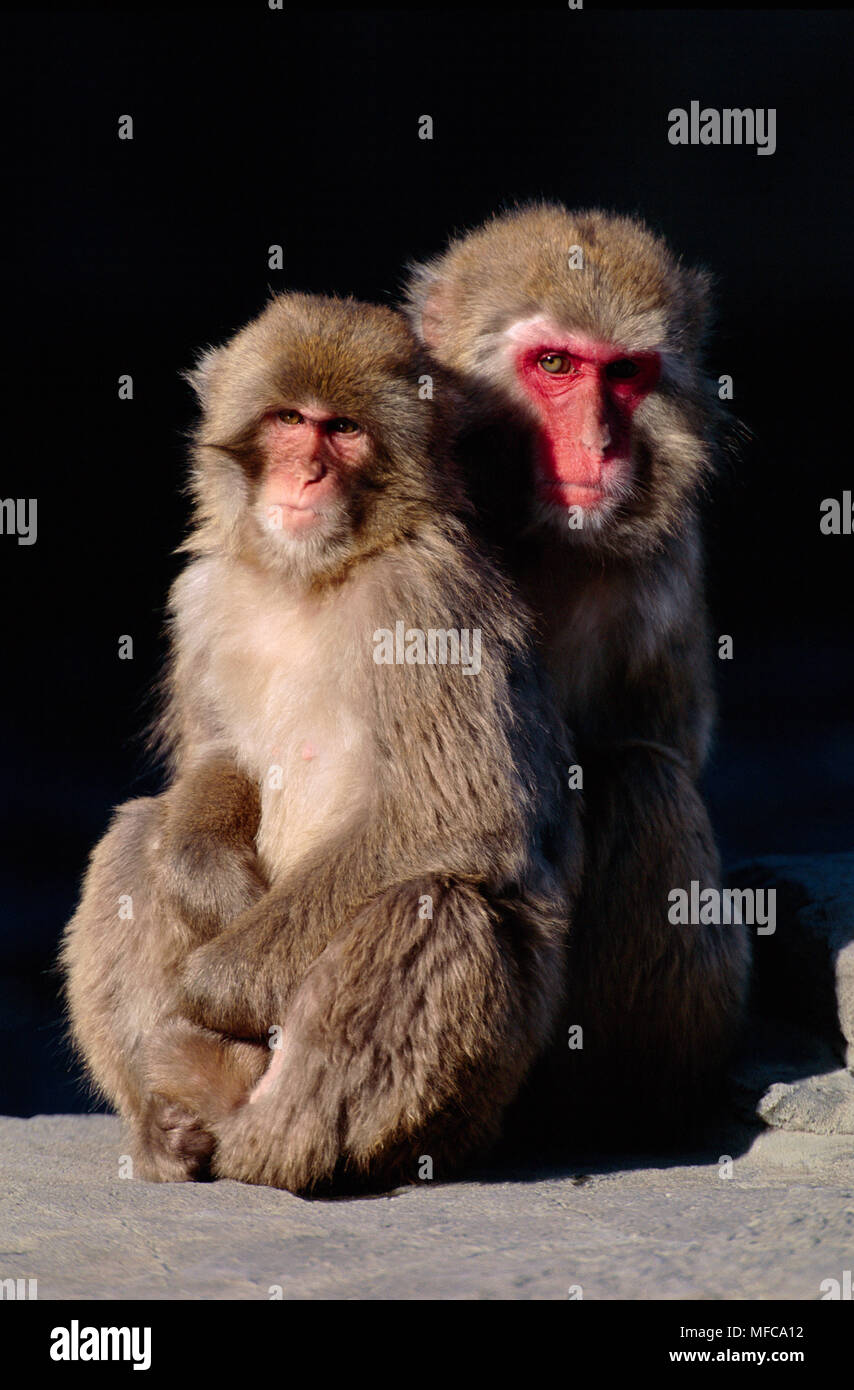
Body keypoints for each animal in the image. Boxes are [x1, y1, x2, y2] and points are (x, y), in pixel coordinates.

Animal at [61, 293, 580, 1192]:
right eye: (288, 420)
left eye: (343, 430)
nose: (307, 474)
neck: (307, 576)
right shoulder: (202, 592)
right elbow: (214, 760)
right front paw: (205, 875)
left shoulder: (427, 601)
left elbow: (459, 818)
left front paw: (208, 982)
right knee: (138, 833)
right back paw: (166, 1128)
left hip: (463, 1106)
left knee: (432, 904)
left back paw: (280, 1149)